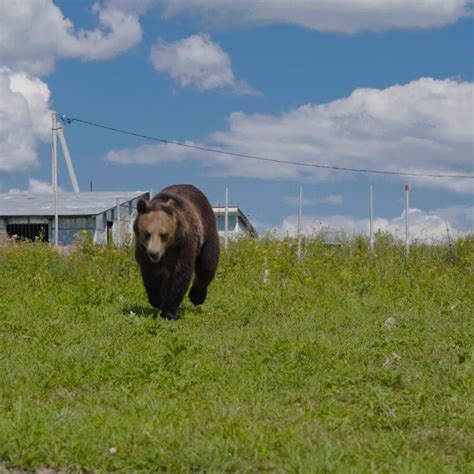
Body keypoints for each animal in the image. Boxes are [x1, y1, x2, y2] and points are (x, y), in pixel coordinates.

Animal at [133, 183, 220, 320]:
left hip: (206, 230)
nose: (154, 253)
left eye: (164, 235)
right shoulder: (143, 250)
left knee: (208, 262)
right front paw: (158, 301)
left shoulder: (182, 245)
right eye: (147, 234)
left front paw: (170, 311)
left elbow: (180, 273)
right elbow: (150, 275)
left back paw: (197, 297)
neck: (166, 250)